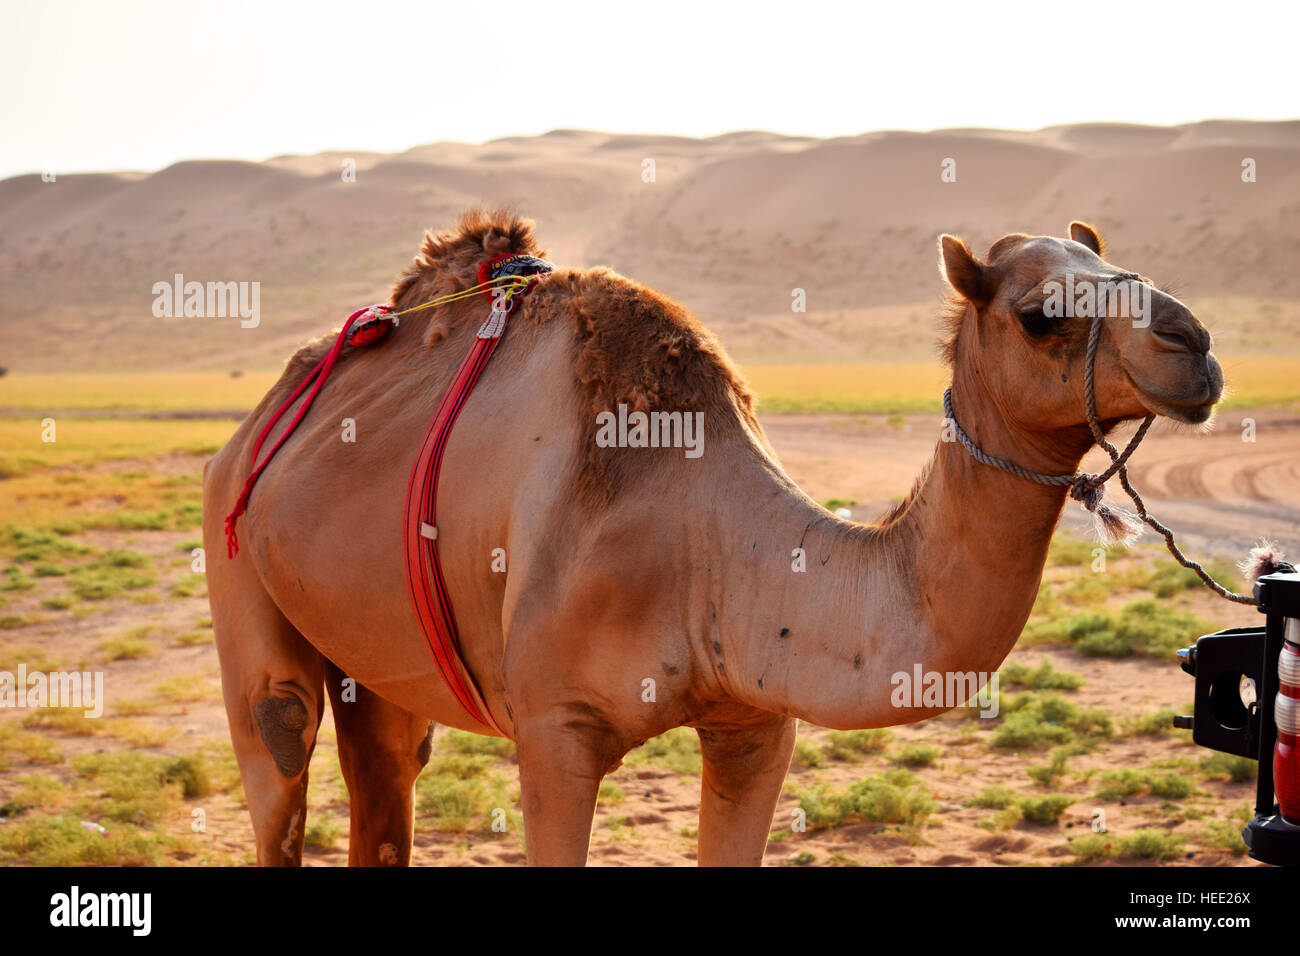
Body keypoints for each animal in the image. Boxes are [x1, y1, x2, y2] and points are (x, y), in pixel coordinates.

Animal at [202, 210, 1223, 866]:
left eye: (1121, 266)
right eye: (1041, 314)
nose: (1195, 343)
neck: (703, 540)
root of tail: (252, 425)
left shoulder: (755, 722)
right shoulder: (554, 730)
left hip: (379, 657)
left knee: (386, 769)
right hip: (233, 552)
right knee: (280, 739)